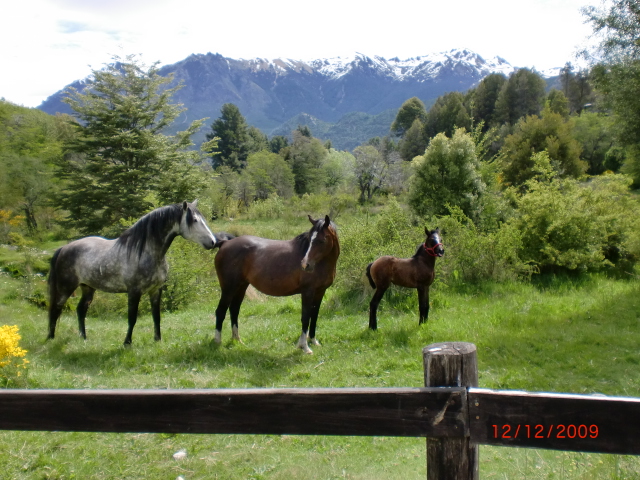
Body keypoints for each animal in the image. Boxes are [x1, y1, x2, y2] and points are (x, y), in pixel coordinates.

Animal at [47, 201, 217, 346]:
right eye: (194, 220)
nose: (213, 242)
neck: (146, 252)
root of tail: (64, 248)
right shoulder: (134, 292)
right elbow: (132, 318)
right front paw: (127, 343)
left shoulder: (156, 290)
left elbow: (156, 316)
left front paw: (158, 339)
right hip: (66, 288)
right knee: (56, 309)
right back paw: (50, 338)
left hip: (88, 287)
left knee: (81, 310)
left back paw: (83, 338)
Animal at [213, 215, 339, 354]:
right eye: (309, 238)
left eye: (322, 241)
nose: (305, 265)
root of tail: (225, 243)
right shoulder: (308, 292)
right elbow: (305, 317)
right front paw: (304, 347)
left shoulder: (320, 292)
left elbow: (314, 316)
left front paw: (313, 341)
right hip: (228, 288)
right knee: (221, 311)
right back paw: (217, 342)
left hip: (241, 287)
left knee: (234, 310)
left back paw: (237, 340)